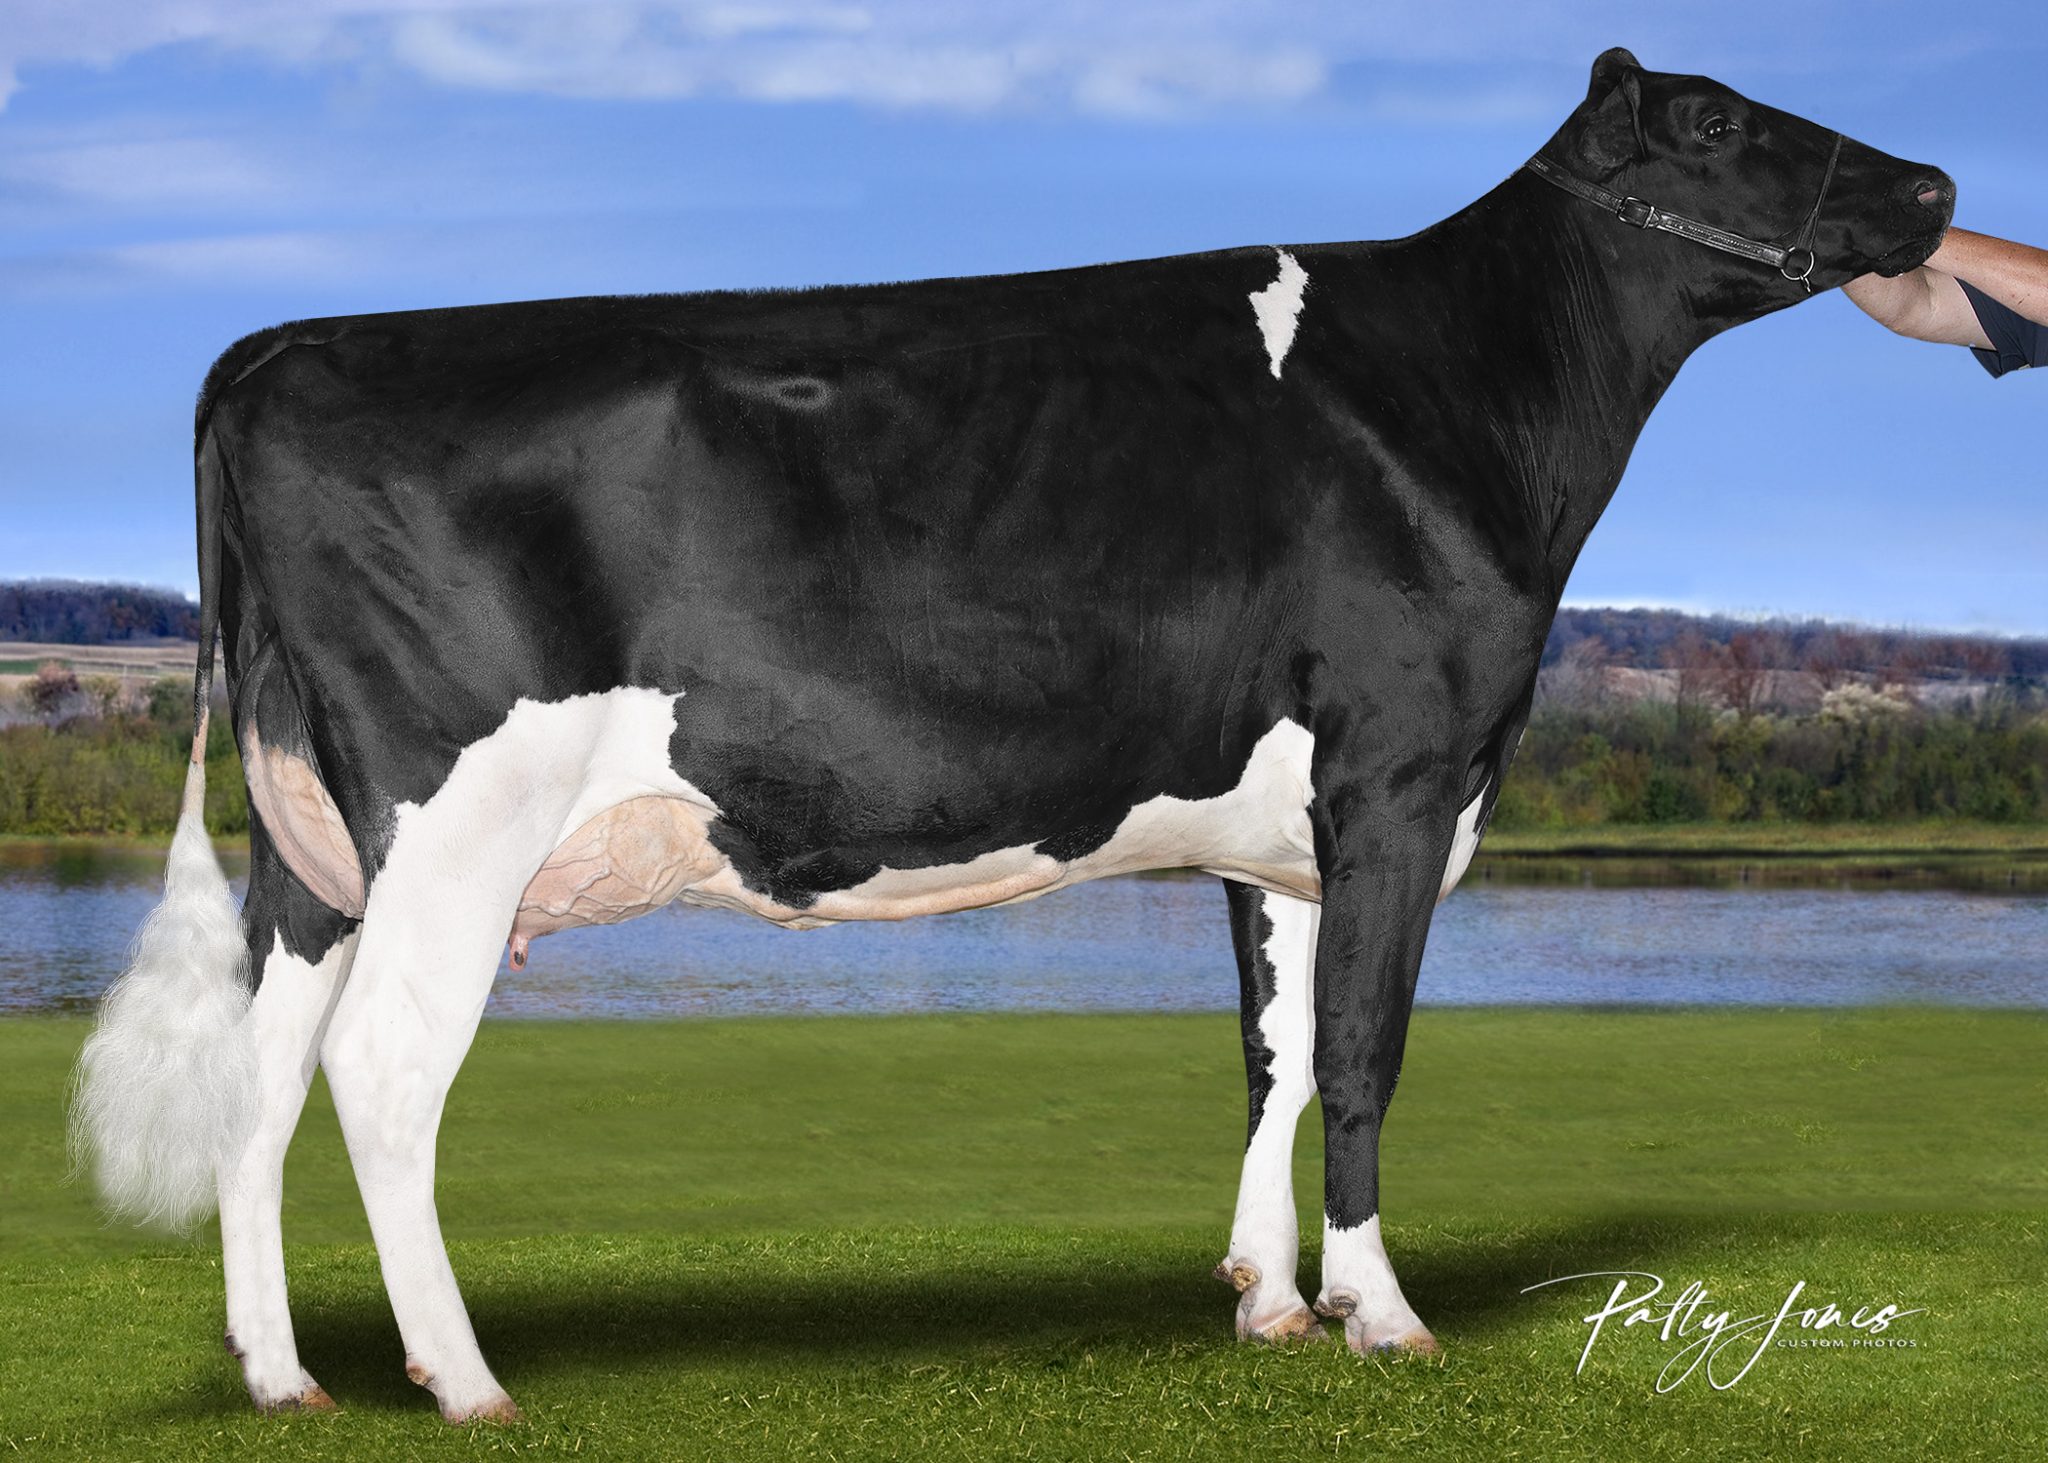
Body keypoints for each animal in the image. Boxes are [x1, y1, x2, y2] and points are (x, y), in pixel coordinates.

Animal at [73, 48, 1951, 1423]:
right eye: (1717, 122)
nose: (1935, 187)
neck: (1454, 396)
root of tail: (281, 343)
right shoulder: (1402, 771)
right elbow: (1361, 1054)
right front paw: (1382, 1309)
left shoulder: (1275, 826)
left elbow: (1271, 1053)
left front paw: (1270, 1297)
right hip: (460, 818)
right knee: (384, 1070)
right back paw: (462, 1378)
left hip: (313, 846)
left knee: (264, 1069)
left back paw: (281, 1373)